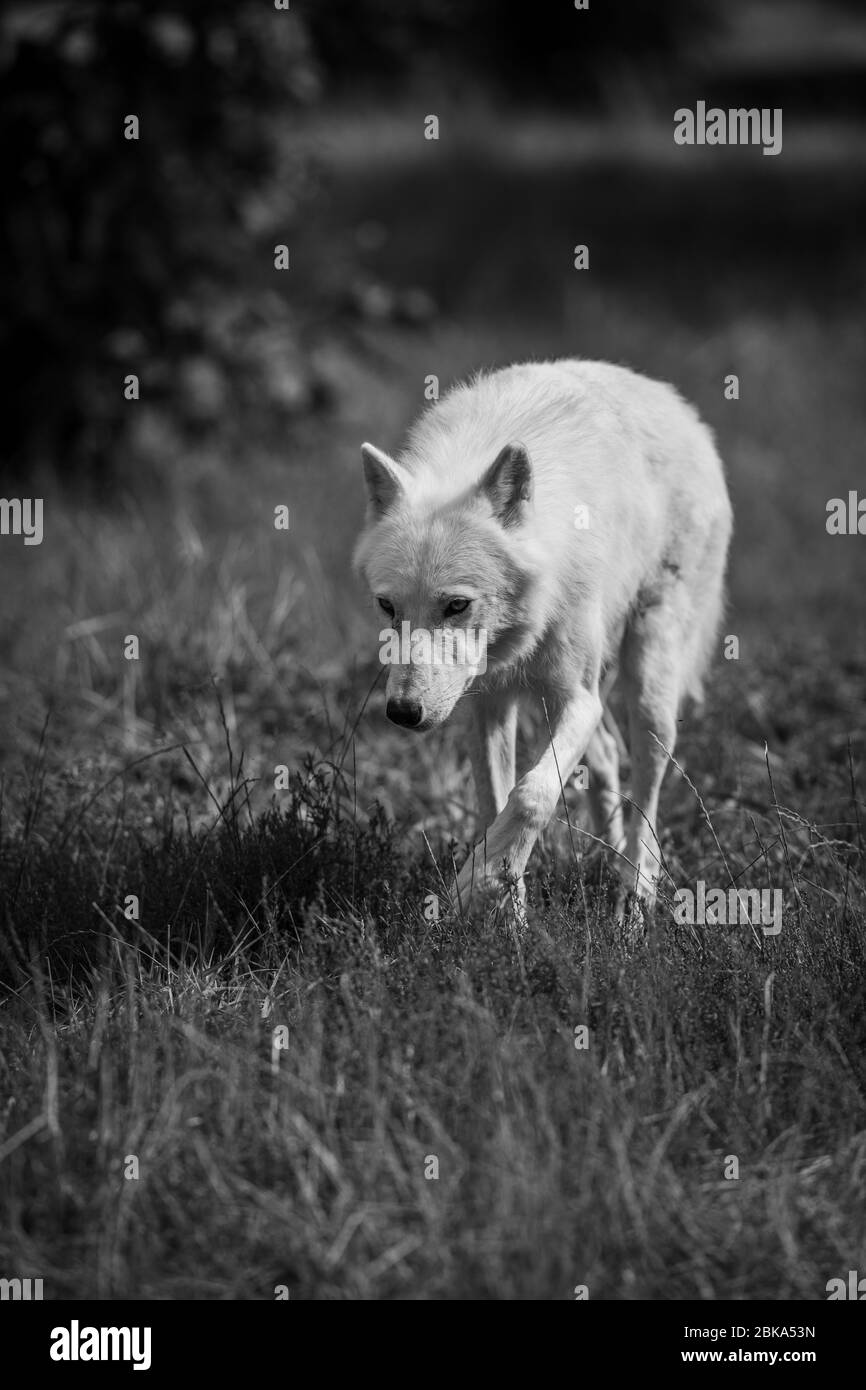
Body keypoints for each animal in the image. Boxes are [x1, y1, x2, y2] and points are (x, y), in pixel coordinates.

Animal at [353, 359, 733, 915]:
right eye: (388, 607)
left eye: (456, 606)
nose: (402, 712)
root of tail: (680, 407)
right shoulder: (486, 702)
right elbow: (496, 803)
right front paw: (505, 915)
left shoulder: (577, 697)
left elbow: (531, 794)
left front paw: (471, 885)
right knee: (606, 755)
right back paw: (604, 856)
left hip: (647, 681)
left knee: (648, 780)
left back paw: (633, 900)